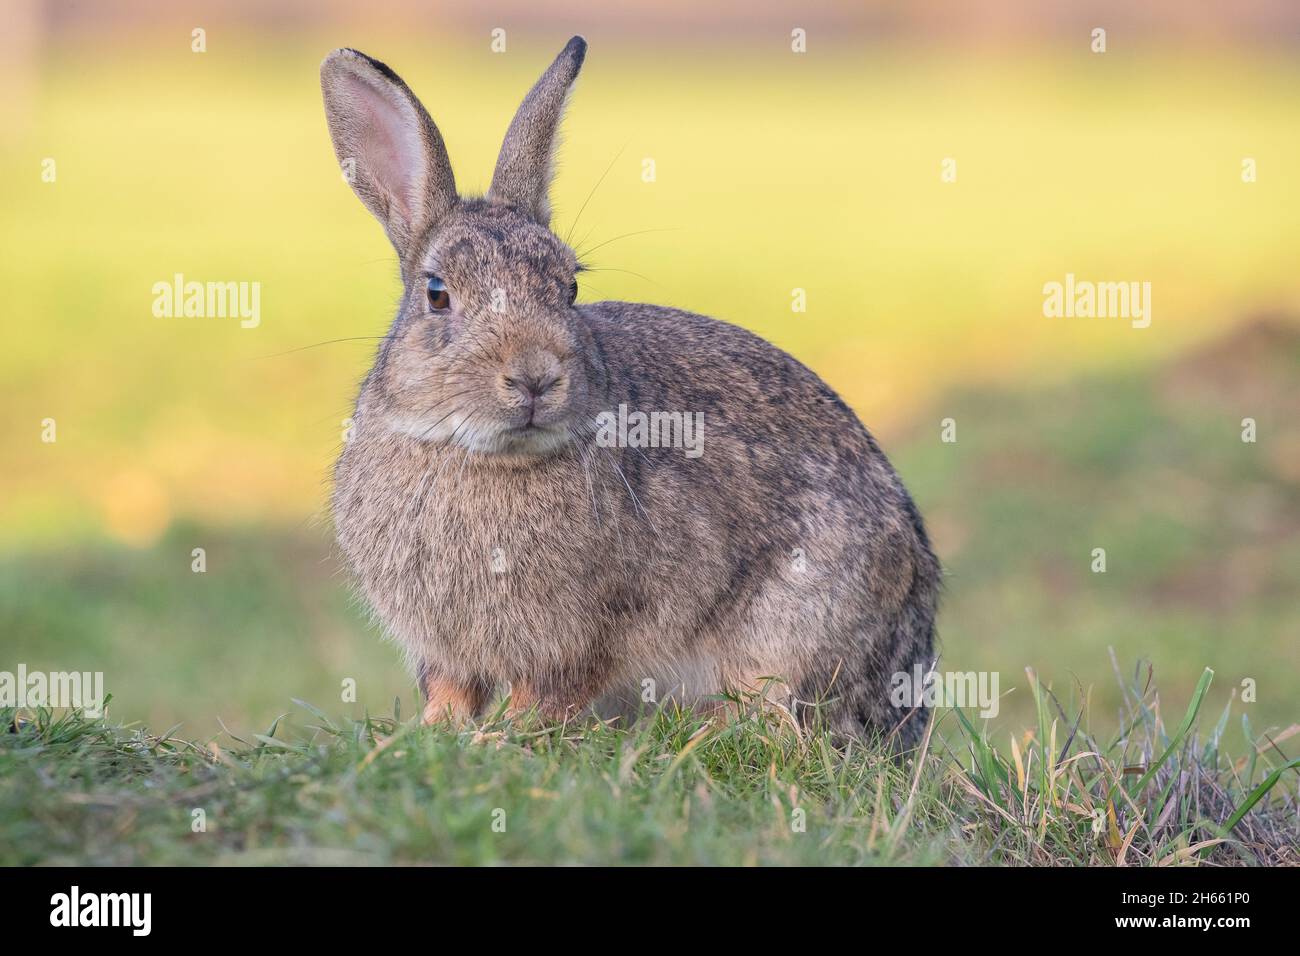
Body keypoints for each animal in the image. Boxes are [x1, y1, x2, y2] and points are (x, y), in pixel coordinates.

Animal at [319, 35, 941, 749]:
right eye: (437, 294)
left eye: (569, 289)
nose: (535, 376)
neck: (483, 456)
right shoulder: (446, 647)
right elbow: (453, 691)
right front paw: (436, 735)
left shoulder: (588, 633)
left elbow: (549, 692)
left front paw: (502, 738)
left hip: (796, 620)